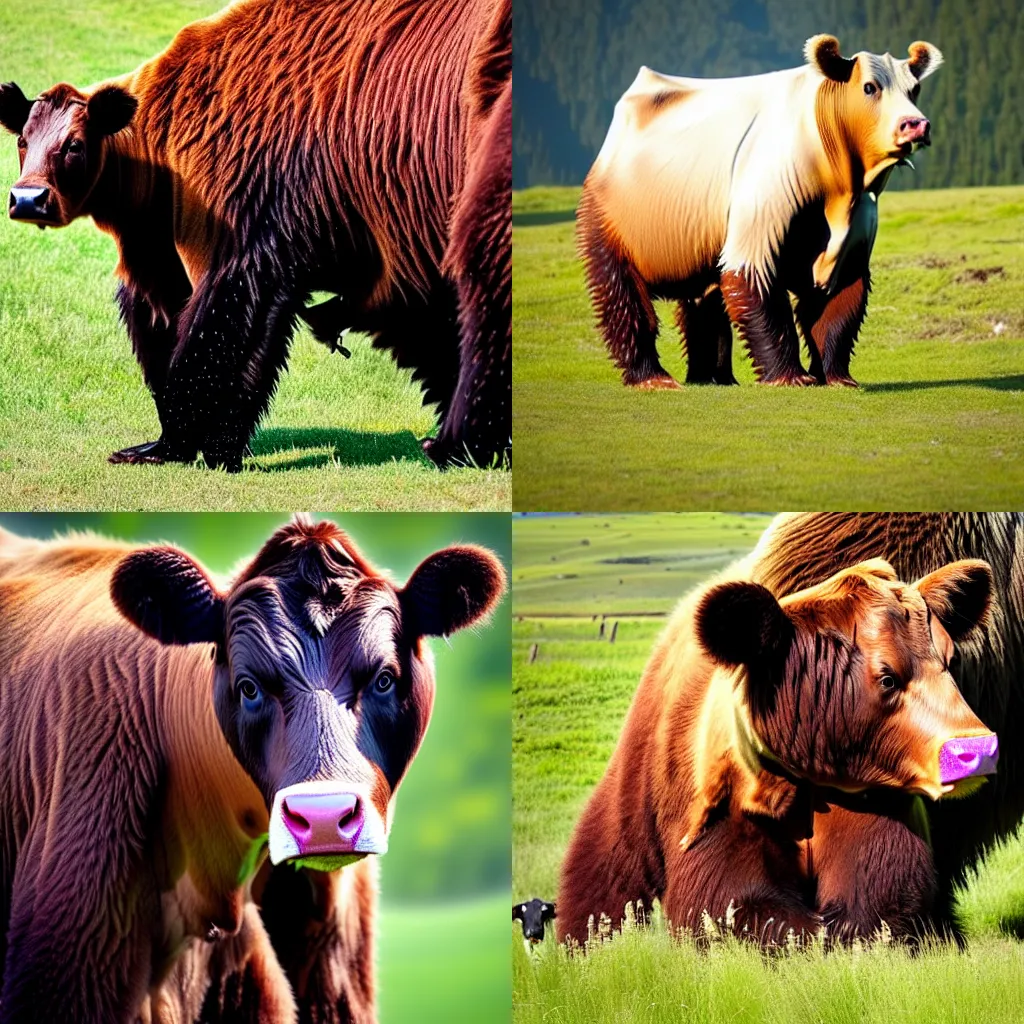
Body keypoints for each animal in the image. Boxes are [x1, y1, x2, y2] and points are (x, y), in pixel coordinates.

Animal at [0, 0, 511, 472]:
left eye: (74, 145)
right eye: (23, 140)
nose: (27, 198)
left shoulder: (256, 220)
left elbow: (219, 332)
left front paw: (186, 444)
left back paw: (456, 444)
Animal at [557, 557, 995, 947]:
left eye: (949, 660)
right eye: (887, 677)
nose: (974, 748)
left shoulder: (871, 798)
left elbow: (883, 896)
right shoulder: (723, 799)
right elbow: (730, 902)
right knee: (605, 876)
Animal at [577, 35, 942, 388]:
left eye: (914, 88)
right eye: (869, 87)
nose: (915, 124)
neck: (840, 177)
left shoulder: (854, 232)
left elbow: (839, 304)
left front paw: (837, 376)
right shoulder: (768, 196)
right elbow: (755, 281)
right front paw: (790, 376)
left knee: (703, 303)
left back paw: (711, 377)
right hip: (618, 216)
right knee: (624, 295)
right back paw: (653, 377)